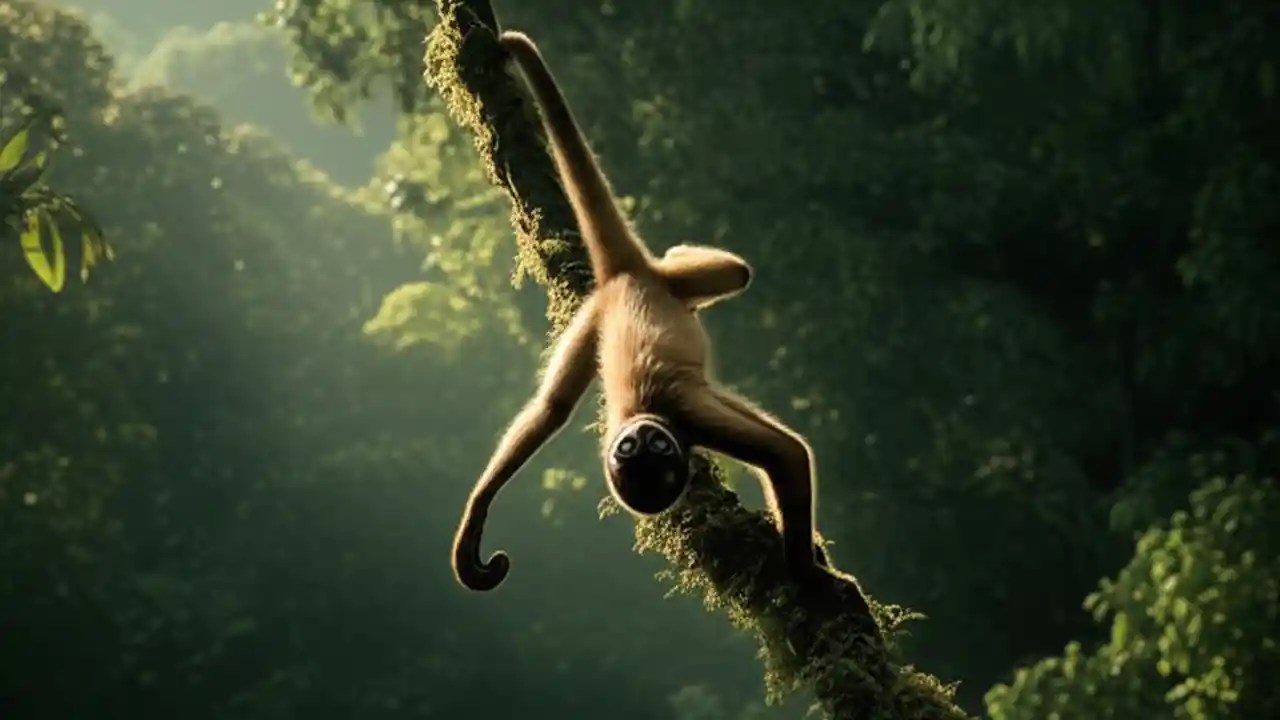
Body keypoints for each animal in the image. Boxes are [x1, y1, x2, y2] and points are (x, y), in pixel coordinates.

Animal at [451, 30, 831, 593]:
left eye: (654, 451)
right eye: (629, 454)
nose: (637, 441)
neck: (643, 414)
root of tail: (626, 274)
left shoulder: (688, 416)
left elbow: (787, 454)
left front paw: (806, 572)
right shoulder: (682, 417)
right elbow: (786, 451)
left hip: (638, 296)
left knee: (730, 274)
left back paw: (677, 253)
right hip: (595, 318)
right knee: (553, 407)